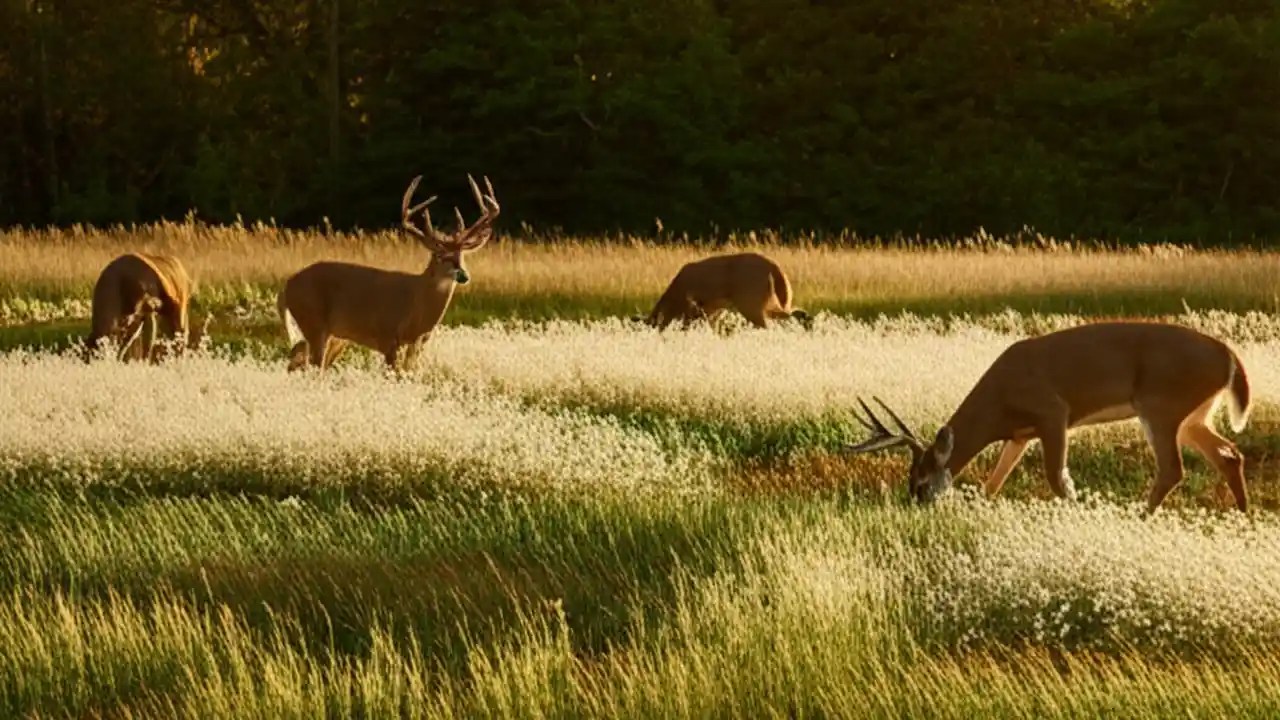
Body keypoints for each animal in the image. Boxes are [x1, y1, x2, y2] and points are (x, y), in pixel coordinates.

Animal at [277, 174, 499, 372]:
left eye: (463, 255)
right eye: (439, 255)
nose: (463, 275)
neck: (417, 306)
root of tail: (286, 286)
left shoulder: (418, 343)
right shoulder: (387, 337)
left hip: (334, 336)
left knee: (298, 362)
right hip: (313, 322)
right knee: (310, 365)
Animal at [632, 252, 810, 331]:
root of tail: (775, 268)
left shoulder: (693, 306)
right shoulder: (711, 309)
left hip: (750, 300)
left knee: (768, 324)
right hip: (772, 300)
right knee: (793, 313)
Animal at [845, 321, 1252, 514]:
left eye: (921, 480)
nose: (915, 506)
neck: (1000, 399)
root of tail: (1229, 355)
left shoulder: (1054, 413)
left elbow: (1058, 479)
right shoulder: (1020, 434)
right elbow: (993, 484)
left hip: (1160, 404)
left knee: (1172, 469)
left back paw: (1140, 517)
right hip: (1194, 415)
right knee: (1230, 454)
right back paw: (1243, 516)